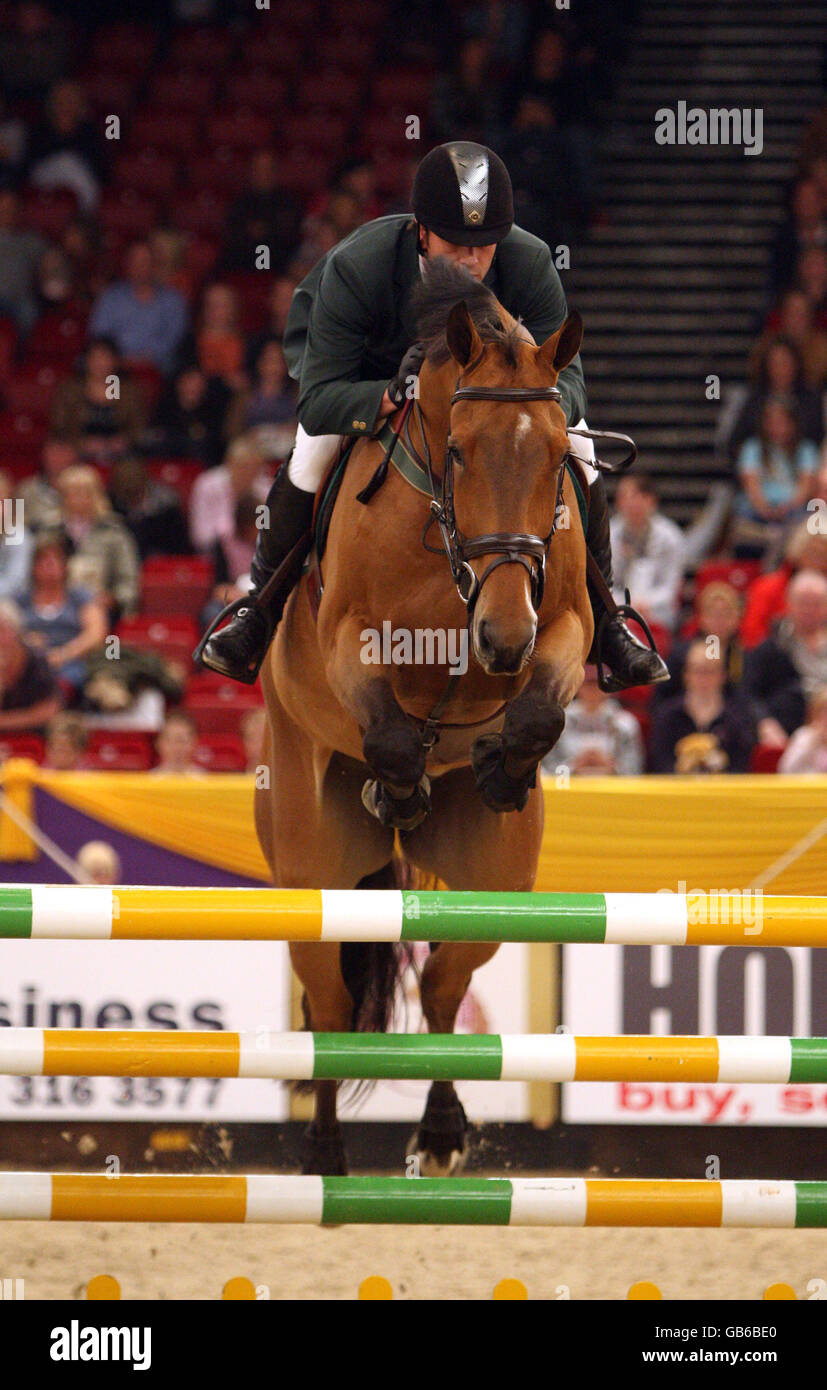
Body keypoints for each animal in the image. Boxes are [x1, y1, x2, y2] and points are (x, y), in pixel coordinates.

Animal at [255, 260, 594, 1176]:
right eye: (460, 451)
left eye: (557, 458)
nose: (501, 638)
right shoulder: (346, 640)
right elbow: (391, 730)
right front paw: (399, 786)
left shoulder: (561, 626)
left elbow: (538, 712)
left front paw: (499, 767)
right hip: (310, 875)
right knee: (331, 1007)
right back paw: (324, 1151)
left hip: (498, 885)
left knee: (444, 985)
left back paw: (441, 1132)